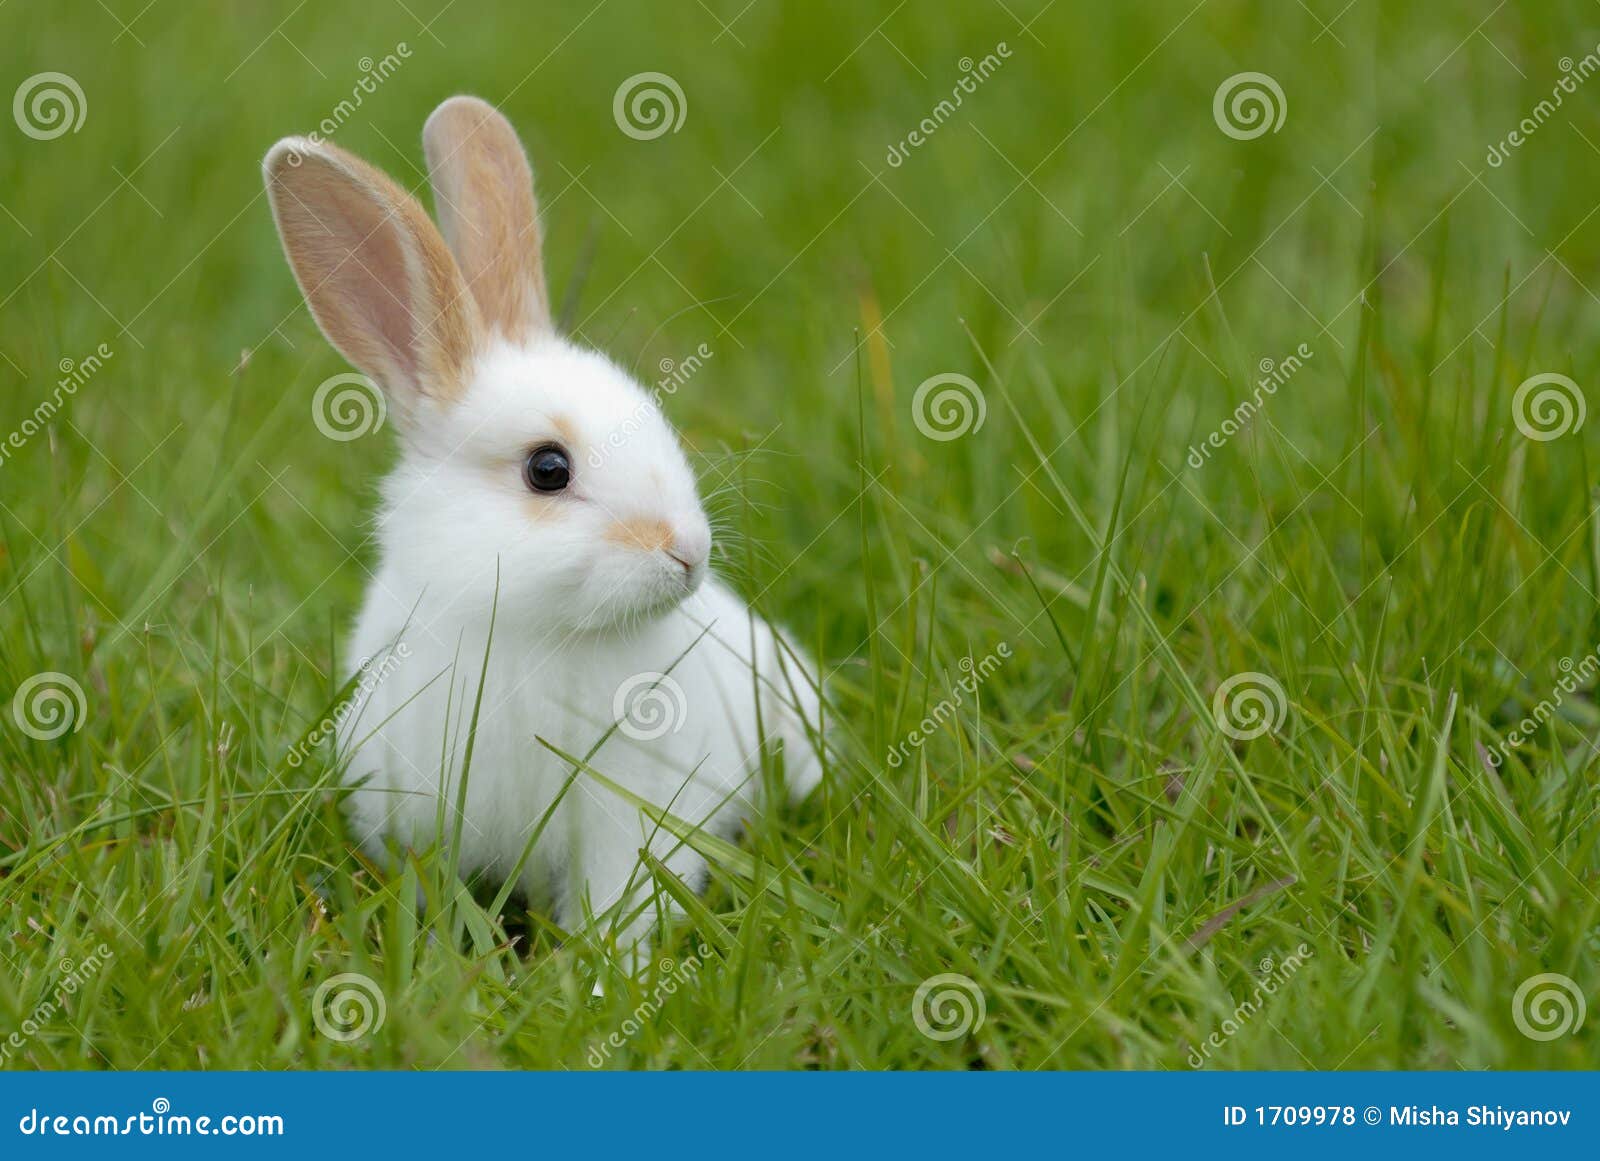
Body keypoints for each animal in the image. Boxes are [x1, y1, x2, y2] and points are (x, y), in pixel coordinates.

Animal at [262, 95, 823, 964]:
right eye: (548, 469)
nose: (686, 552)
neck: (530, 631)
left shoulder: (626, 816)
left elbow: (620, 902)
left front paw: (603, 974)